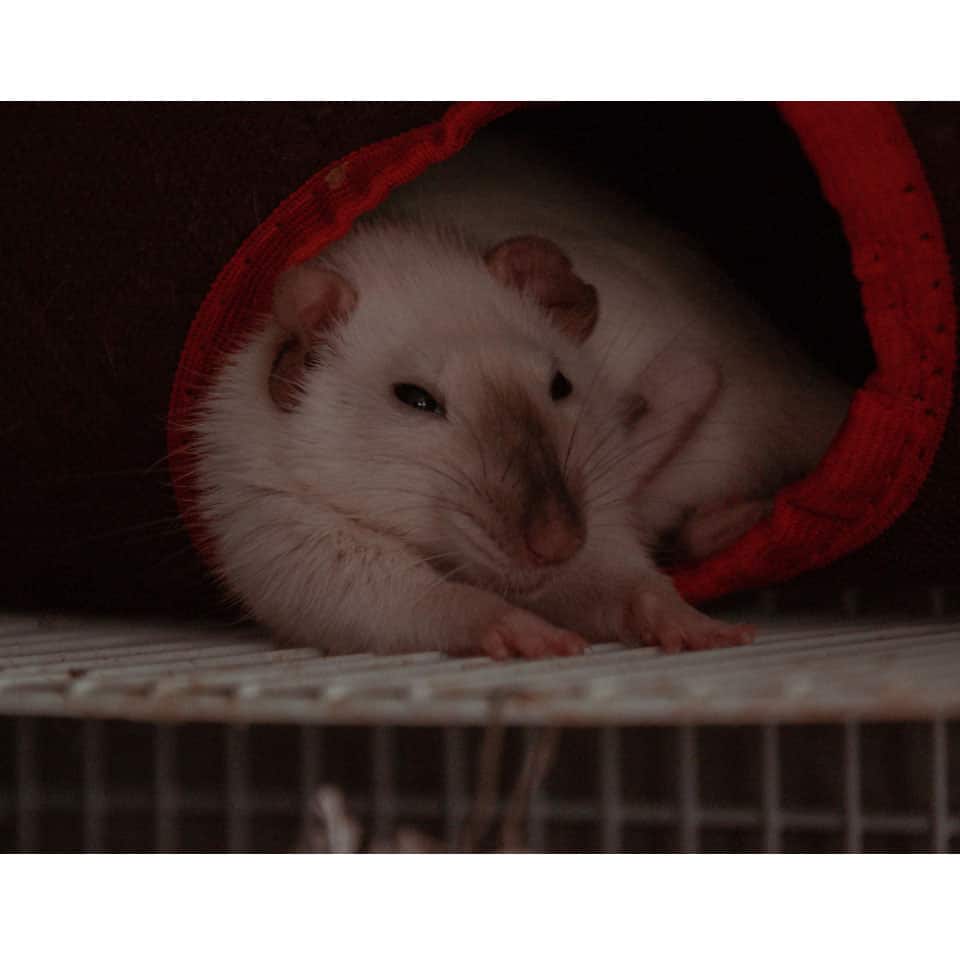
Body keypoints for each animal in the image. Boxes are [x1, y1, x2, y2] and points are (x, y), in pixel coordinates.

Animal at [191, 135, 851, 659]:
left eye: (560, 385)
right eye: (415, 399)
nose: (556, 541)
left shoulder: (593, 487)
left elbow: (608, 563)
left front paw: (670, 610)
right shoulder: (255, 490)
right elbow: (344, 589)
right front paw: (503, 622)